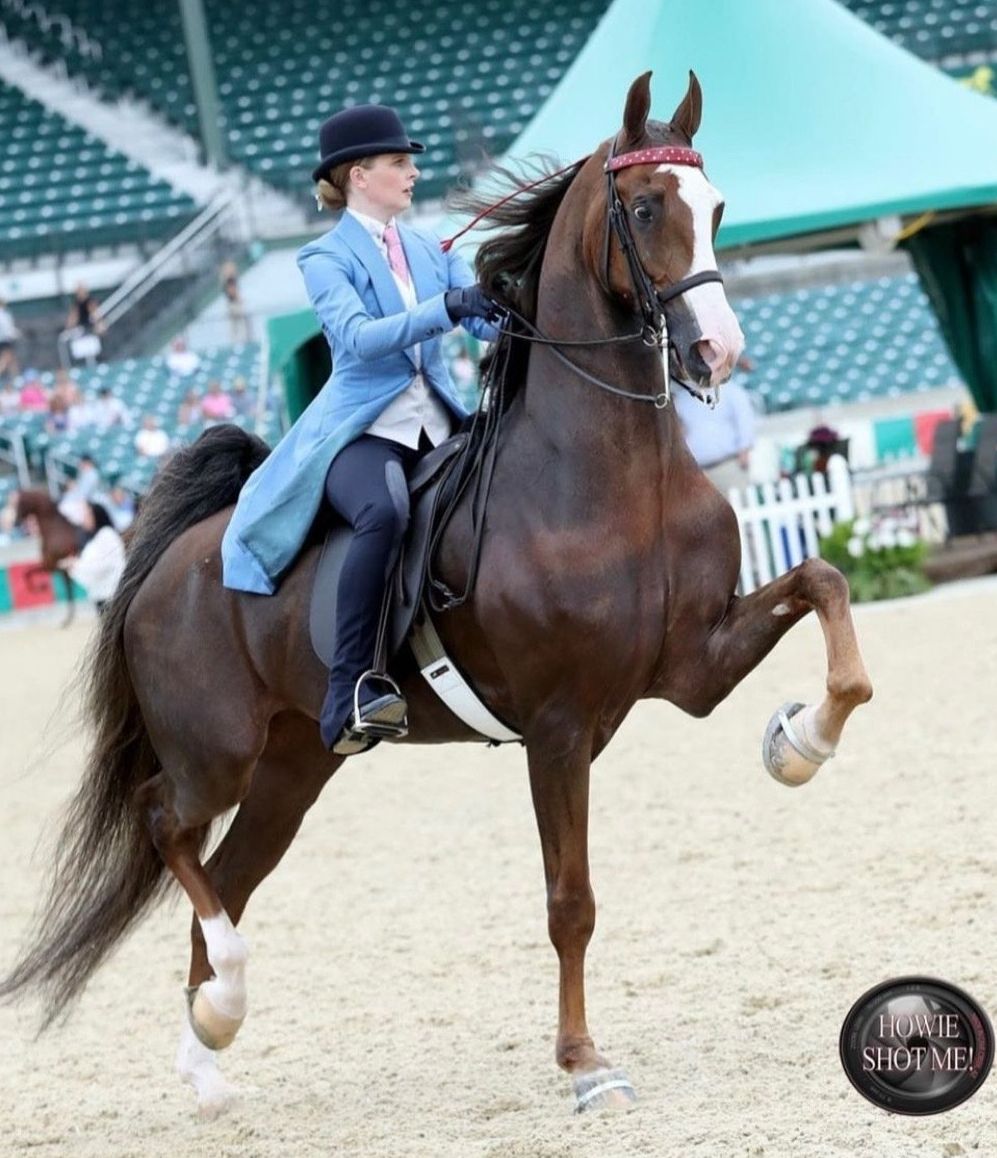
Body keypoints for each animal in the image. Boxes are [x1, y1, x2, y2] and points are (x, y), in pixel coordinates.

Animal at [0, 72, 872, 1118]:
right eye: (645, 208)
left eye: (717, 208)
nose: (715, 355)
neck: (614, 478)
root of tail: (167, 565)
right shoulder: (558, 726)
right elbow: (569, 902)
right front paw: (585, 1065)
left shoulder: (691, 667)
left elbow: (825, 589)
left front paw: (800, 741)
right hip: (216, 755)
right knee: (165, 825)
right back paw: (224, 1002)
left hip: (294, 768)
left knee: (226, 877)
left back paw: (209, 1049)